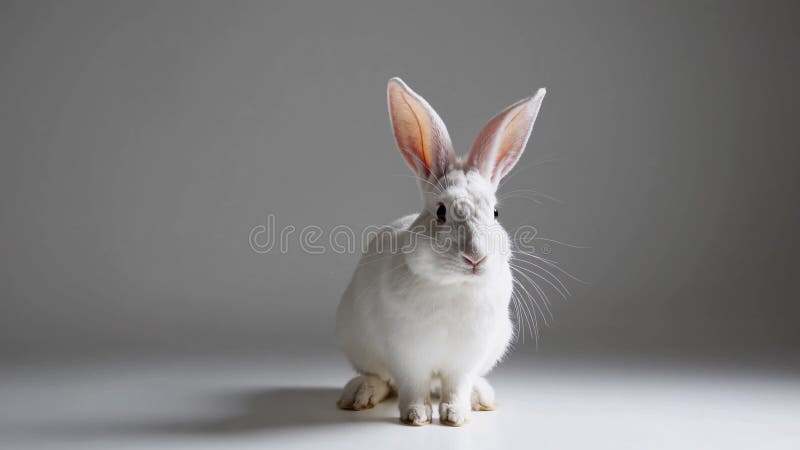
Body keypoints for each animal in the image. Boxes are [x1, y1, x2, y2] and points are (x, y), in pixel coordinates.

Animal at [336, 77, 546, 426]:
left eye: (496, 213)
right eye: (441, 212)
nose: (475, 257)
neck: (454, 286)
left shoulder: (465, 359)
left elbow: (456, 386)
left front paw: (455, 416)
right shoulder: (408, 354)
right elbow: (413, 387)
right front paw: (417, 416)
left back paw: (481, 398)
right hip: (357, 339)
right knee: (380, 376)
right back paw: (359, 394)